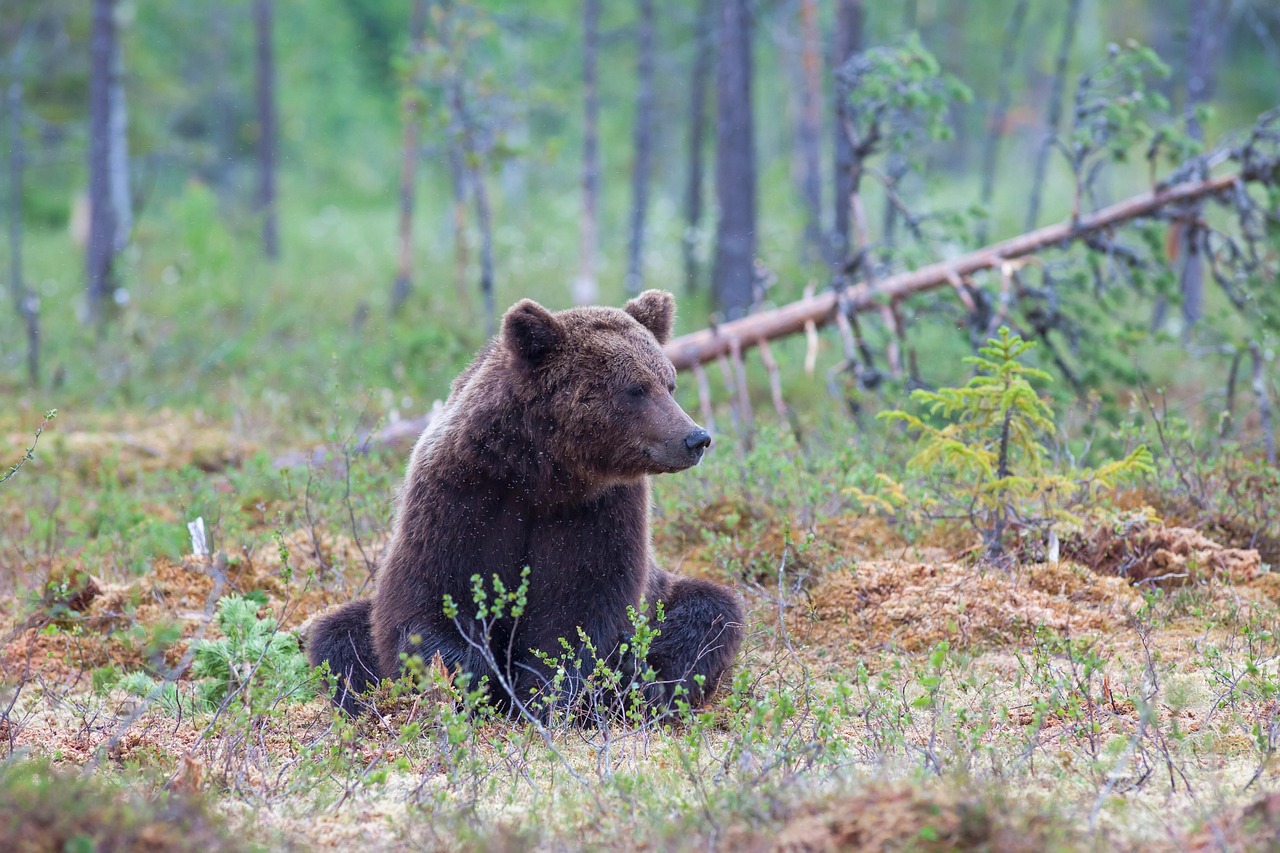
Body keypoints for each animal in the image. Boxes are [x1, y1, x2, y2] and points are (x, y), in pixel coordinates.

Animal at [306, 290, 744, 718]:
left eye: (669, 383)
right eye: (635, 389)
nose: (696, 438)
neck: (541, 471)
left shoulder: (600, 509)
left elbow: (579, 609)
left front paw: (547, 697)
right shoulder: (461, 495)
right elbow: (431, 596)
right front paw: (468, 682)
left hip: (663, 595)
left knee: (710, 613)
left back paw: (649, 687)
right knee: (337, 635)